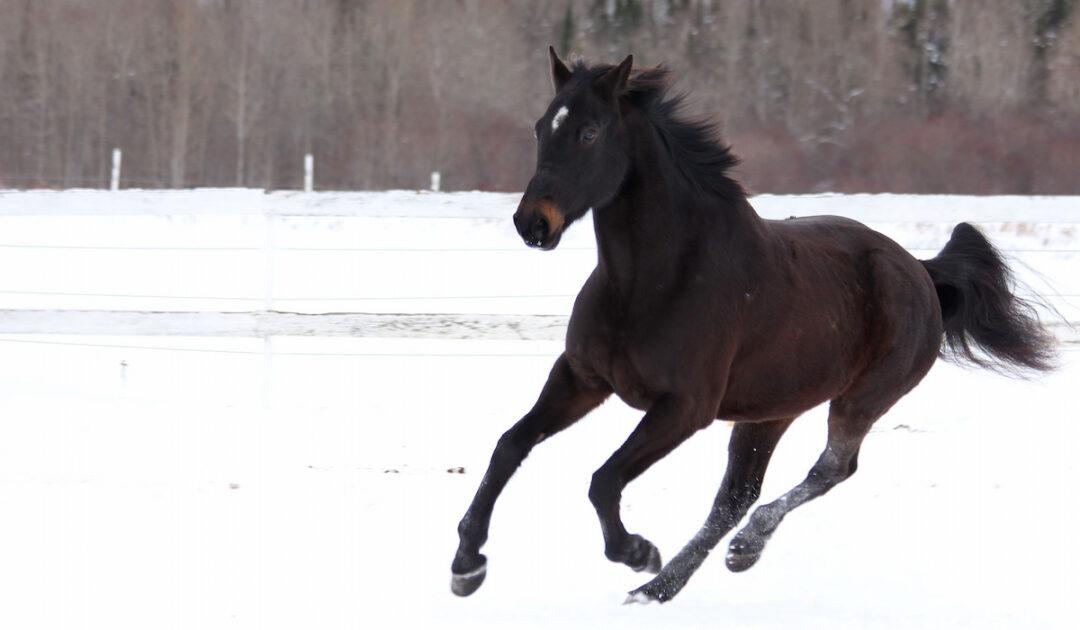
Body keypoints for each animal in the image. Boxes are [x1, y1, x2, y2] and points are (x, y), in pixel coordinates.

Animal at [451, 48, 1055, 604]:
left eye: (590, 132)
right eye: (540, 127)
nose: (533, 223)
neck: (654, 282)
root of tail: (922, 272)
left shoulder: (683, 408)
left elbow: (604, 480)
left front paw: (637, 551)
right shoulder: (582, 378)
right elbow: (510, 445)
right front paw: (467, 564)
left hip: (860, 399)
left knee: (830, 470)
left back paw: (726, 554)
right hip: (769, 411)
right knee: (736, 496)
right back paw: (668, 585)